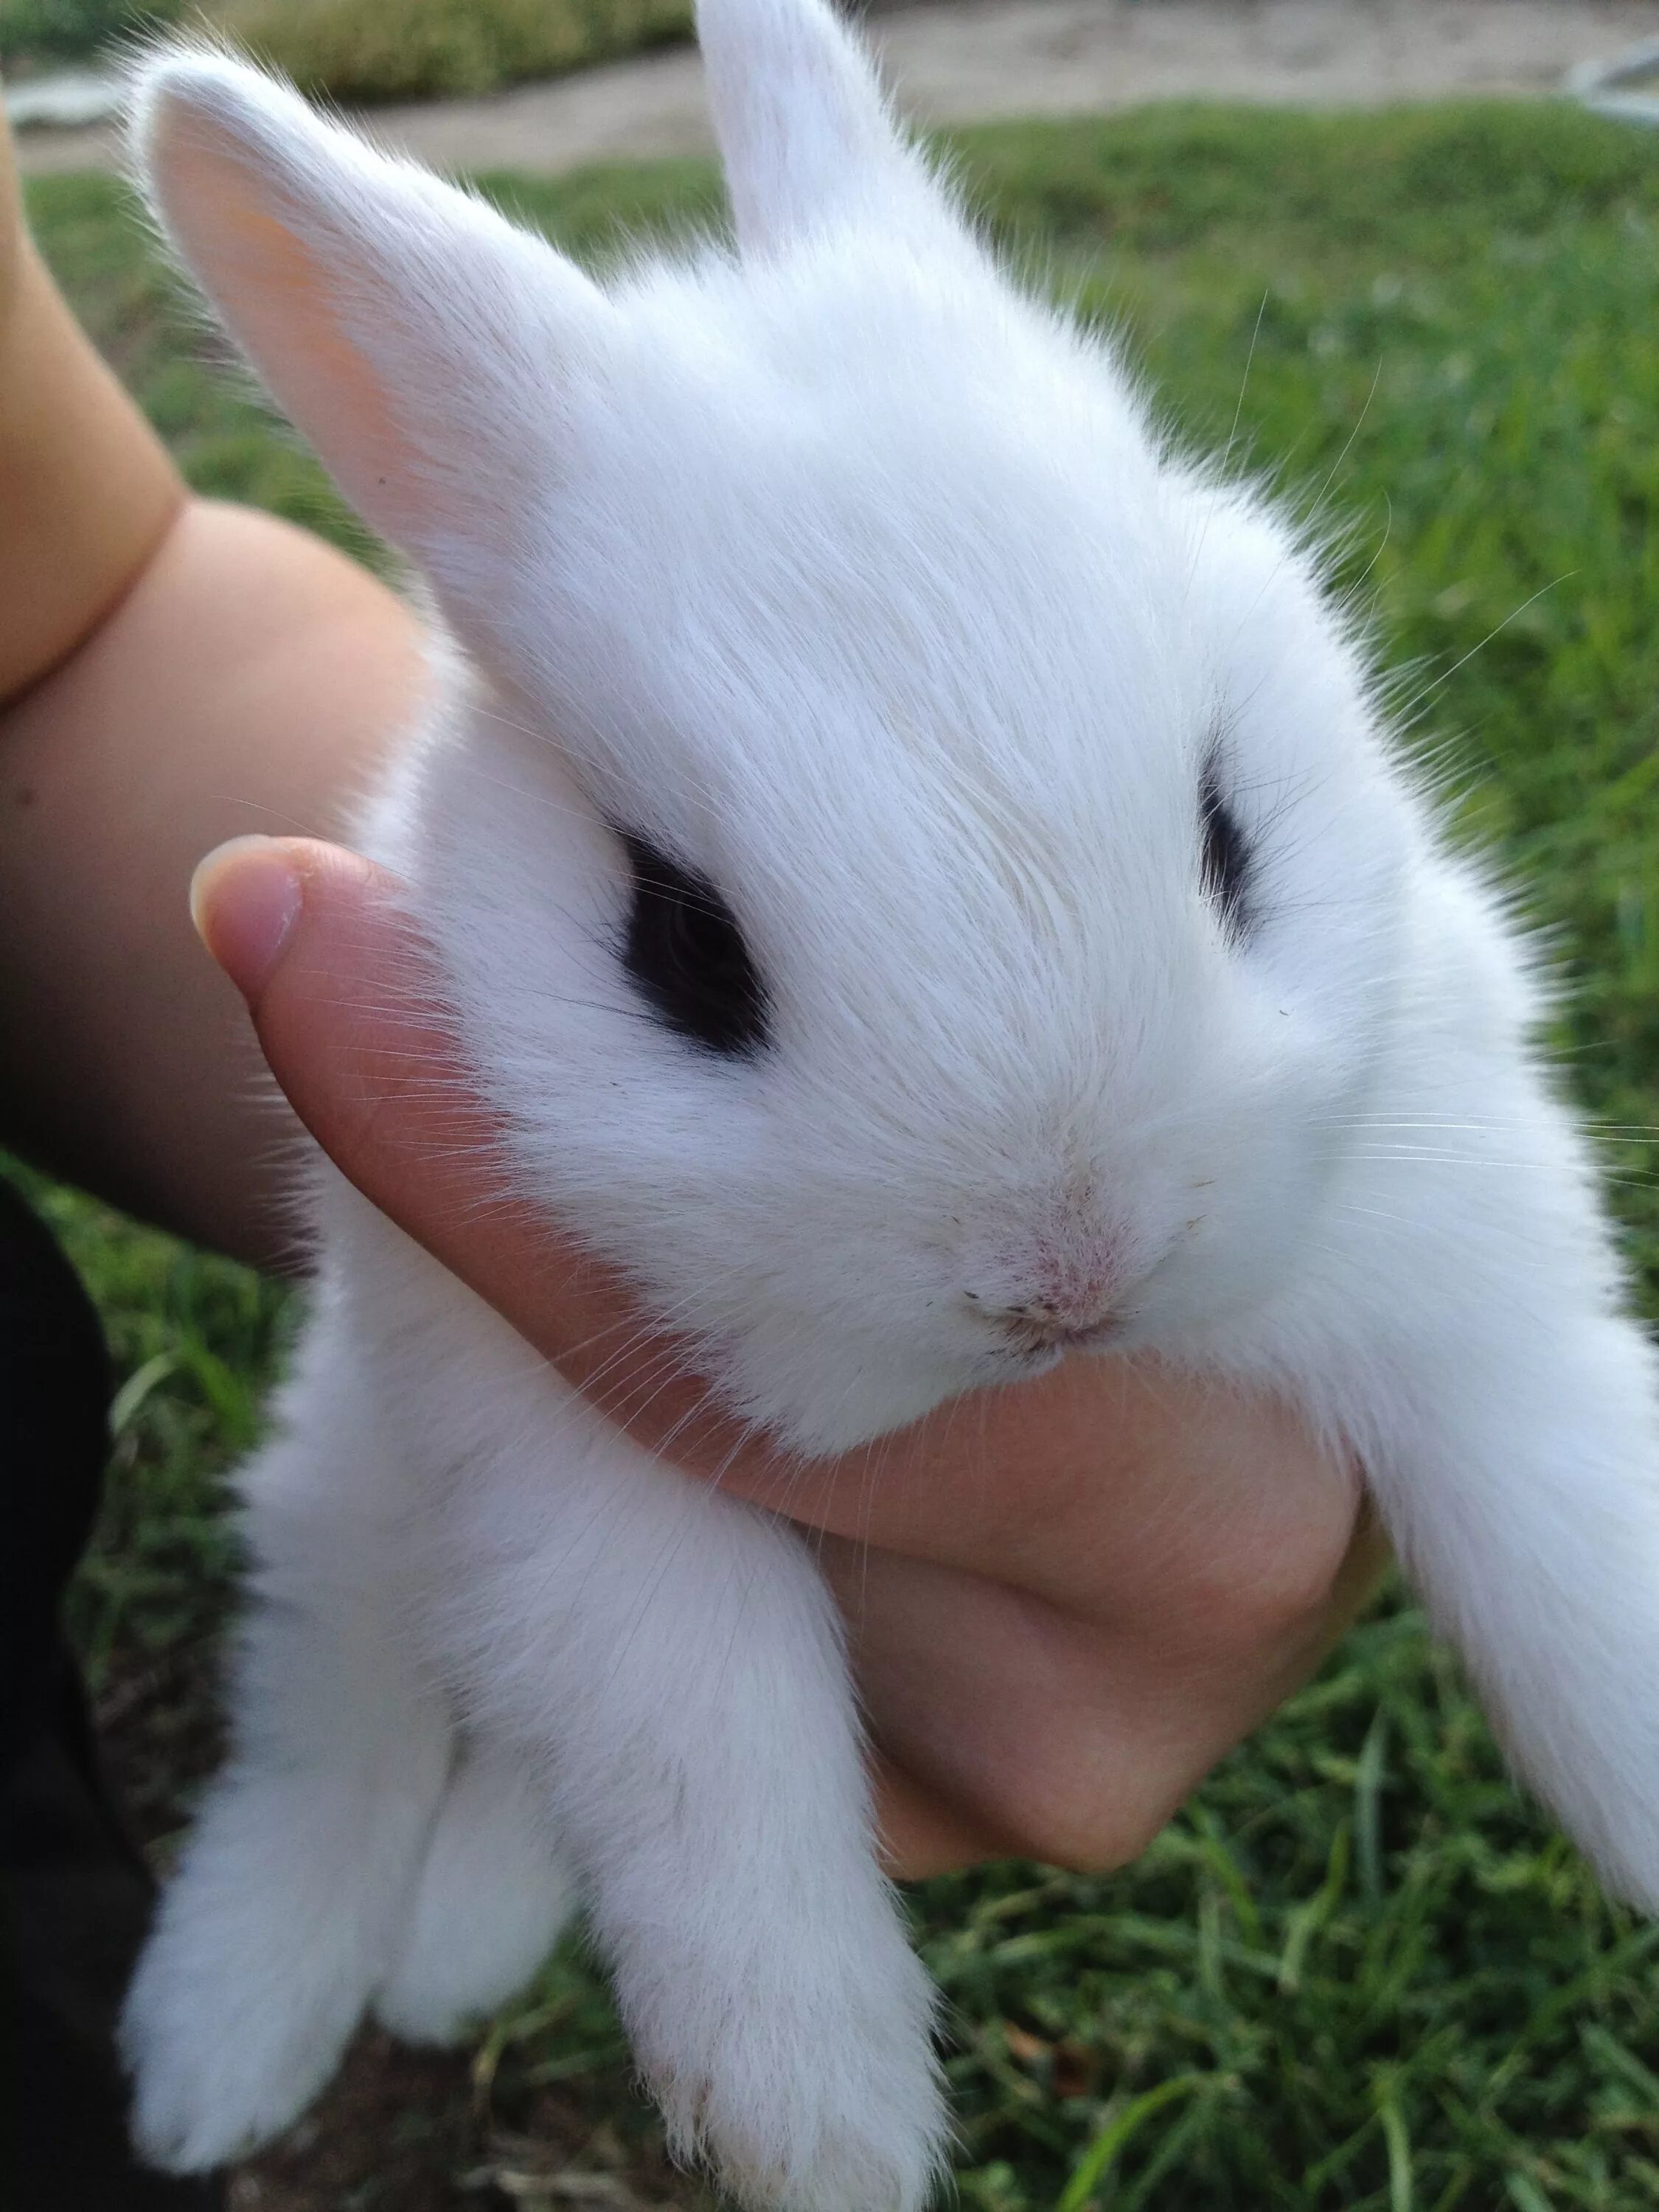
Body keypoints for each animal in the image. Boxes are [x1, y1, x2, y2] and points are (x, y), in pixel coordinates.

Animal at [123, 4, 1659, 2212]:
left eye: (1227, 830)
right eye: (678, 947)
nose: (1061, 1270)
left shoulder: (1470, 1226)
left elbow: (1558, 1515)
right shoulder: (540, 1426)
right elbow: (692, 1734)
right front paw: (819, 2118)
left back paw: (436, 1959)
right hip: (355, 1499)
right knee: (335, 1728)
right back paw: (220, 2046)